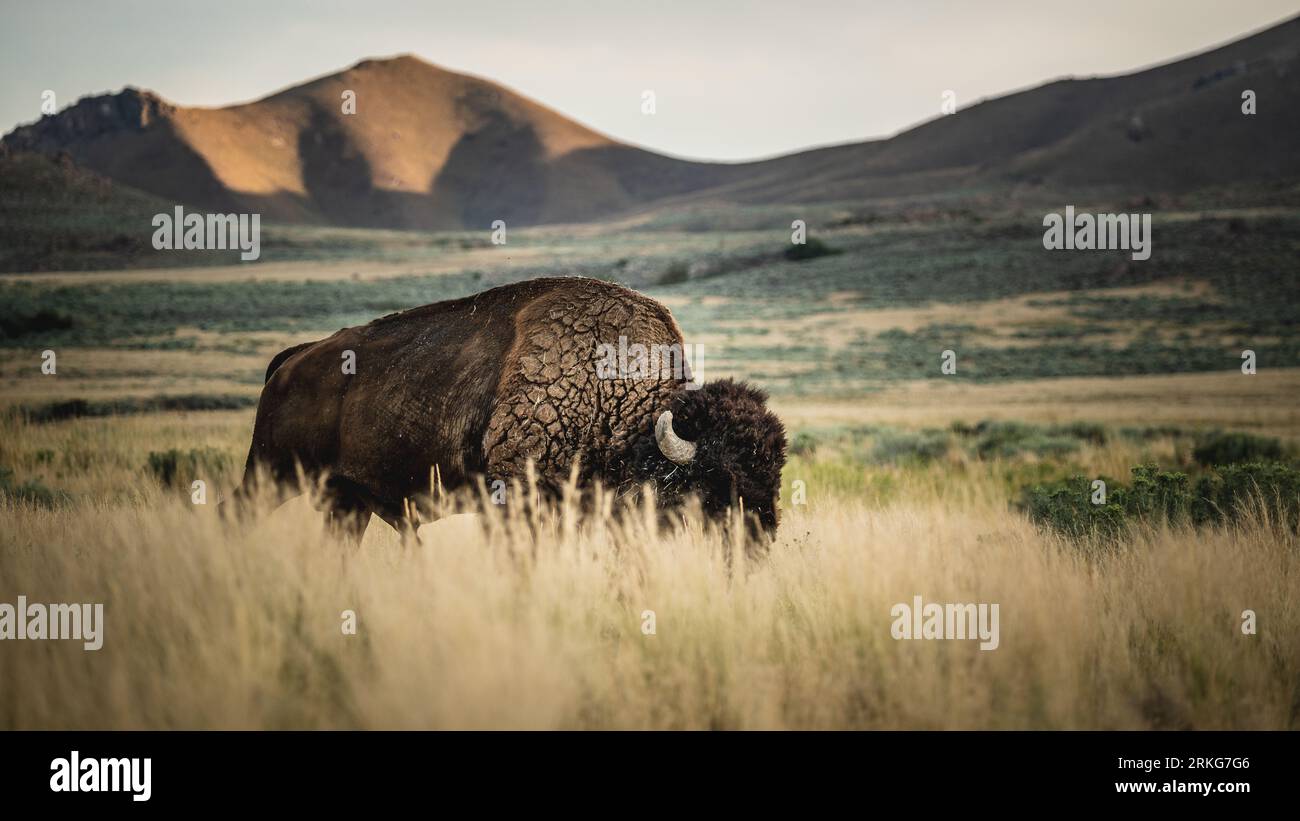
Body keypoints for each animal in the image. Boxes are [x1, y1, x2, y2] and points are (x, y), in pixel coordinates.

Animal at [232, 277, 786, 542]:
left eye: (775, 478)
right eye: (717, 484)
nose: (758, 542)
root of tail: (291, 360)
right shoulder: (516, 495)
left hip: (345, 499)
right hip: (271, 471)